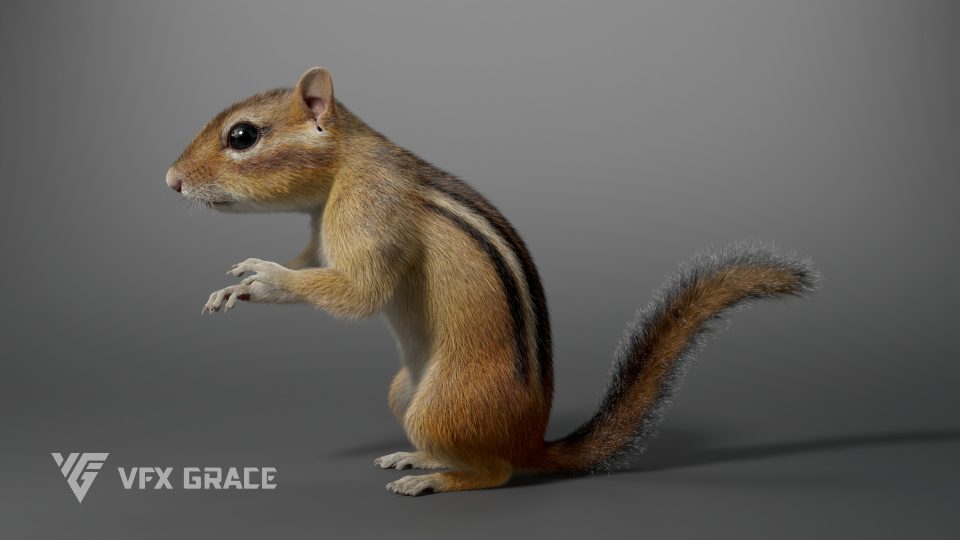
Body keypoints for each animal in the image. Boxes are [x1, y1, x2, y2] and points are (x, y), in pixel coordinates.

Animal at [166, 67, 819, 496]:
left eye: (243, 136)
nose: (170, 180)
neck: (346, 165)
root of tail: (530, 439)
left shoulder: (371, 208)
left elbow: (359, 292)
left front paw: (262, 281)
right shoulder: (318, 236)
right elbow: (311, 263)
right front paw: (242, 279)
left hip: (441, 404)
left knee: (496, 473)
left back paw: (434, 481)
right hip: (404, 393)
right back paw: (415, 459)